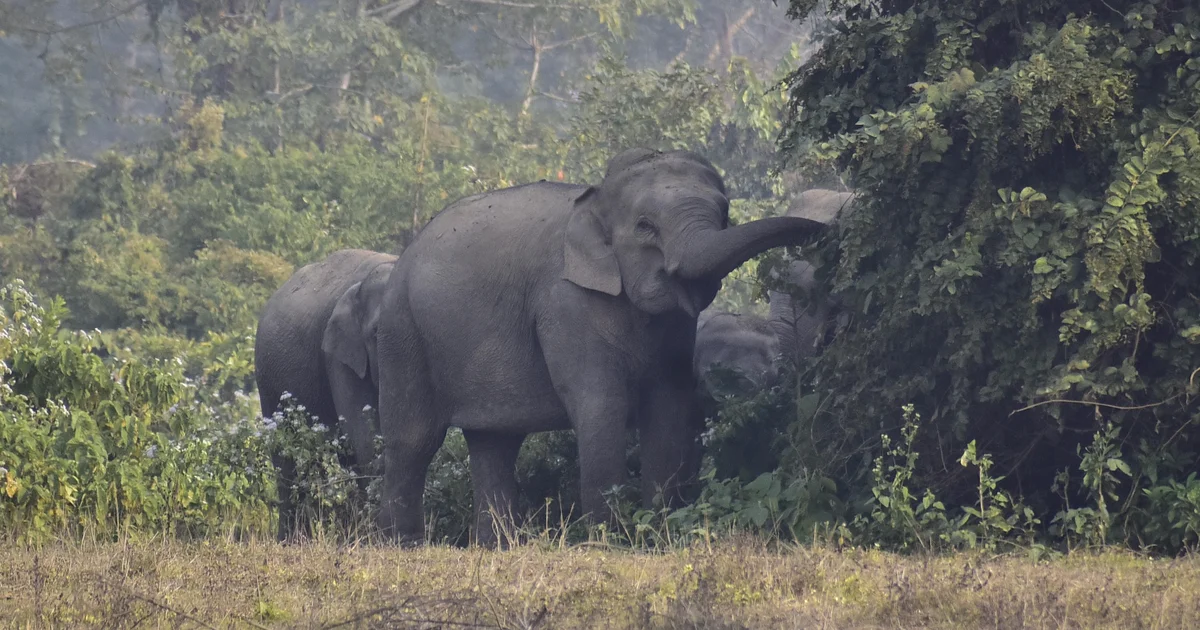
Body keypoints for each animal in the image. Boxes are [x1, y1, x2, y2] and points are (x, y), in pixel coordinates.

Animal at [254, 248, 397, 538]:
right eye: (377, 331)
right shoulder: (339, 356)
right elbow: (365, 436)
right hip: (268, 376)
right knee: (287, 456)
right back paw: (293, 538)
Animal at [368, 148, 827, 545]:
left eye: (725, 213)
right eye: (645, 226)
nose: (824, 232)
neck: (597, 199)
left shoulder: (677, 328)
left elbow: (669, 405)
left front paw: (657, 535)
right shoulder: (564, 302)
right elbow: (601, 403)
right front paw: (610, 541)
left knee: (494, 442)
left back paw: (497, 547)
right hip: (402, 329)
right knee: (414, 439)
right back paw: (403, 545)